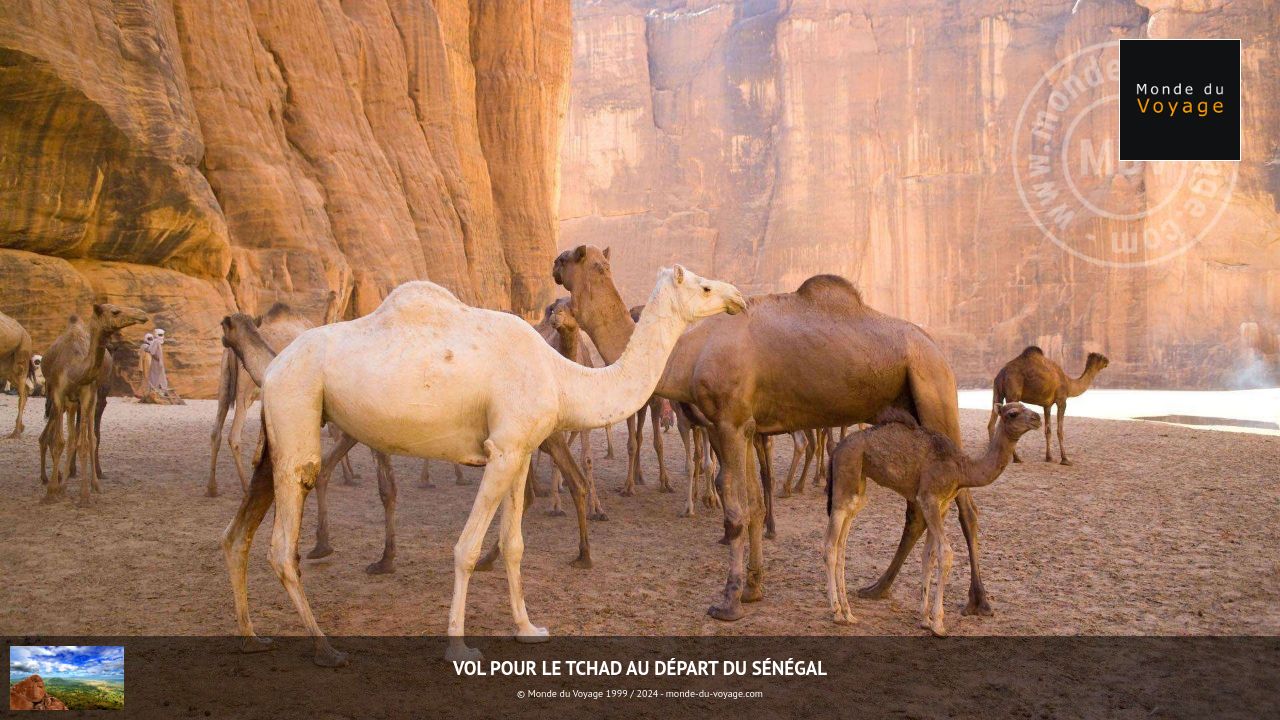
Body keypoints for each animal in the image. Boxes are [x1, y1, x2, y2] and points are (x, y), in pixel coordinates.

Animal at [0, 308, 33, 438]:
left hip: (21, 359)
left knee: (23, 392)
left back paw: (16, 432)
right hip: (7, 369)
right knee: (26, 390)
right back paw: (20, 428)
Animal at [39, 304, 146, 502]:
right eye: (115, 311)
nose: (142, 315)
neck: (74, 369)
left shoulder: (89, 395)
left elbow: (86, 441)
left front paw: (84, 494)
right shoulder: (58, 394)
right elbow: (59, 442)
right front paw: (52, 491)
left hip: (81, 402)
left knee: (84, 438)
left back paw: (84, 483)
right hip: (66, 402)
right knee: (61, 437)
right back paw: (58, 481)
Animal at [555, 243, 983, 620]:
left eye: (576, 257)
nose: (555, 264)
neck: (688, 354)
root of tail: (938, 351)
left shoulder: (727, 422)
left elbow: (734, 510)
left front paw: (728, 602)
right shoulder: (744, 427)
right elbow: (756, 507)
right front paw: (753, 588)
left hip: (935, 394)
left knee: (965, 504)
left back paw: (977, 601)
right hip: (909, 415)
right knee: (917, 509)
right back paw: (878, 587)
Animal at [824, 404, 1044, 632]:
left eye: (1024, 406)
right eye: (1013, 413)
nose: (1037, 418)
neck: (961, 468)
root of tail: (837, 450)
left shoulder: (942, 506)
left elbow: (928, 556)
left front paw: (925, 619)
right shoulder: (928, 498)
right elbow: (945, 553)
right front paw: (938, 623)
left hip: (857, 485)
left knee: (842, 544)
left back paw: (849, 613)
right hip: (845, 476)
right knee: (830, 545)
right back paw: (837, 613)